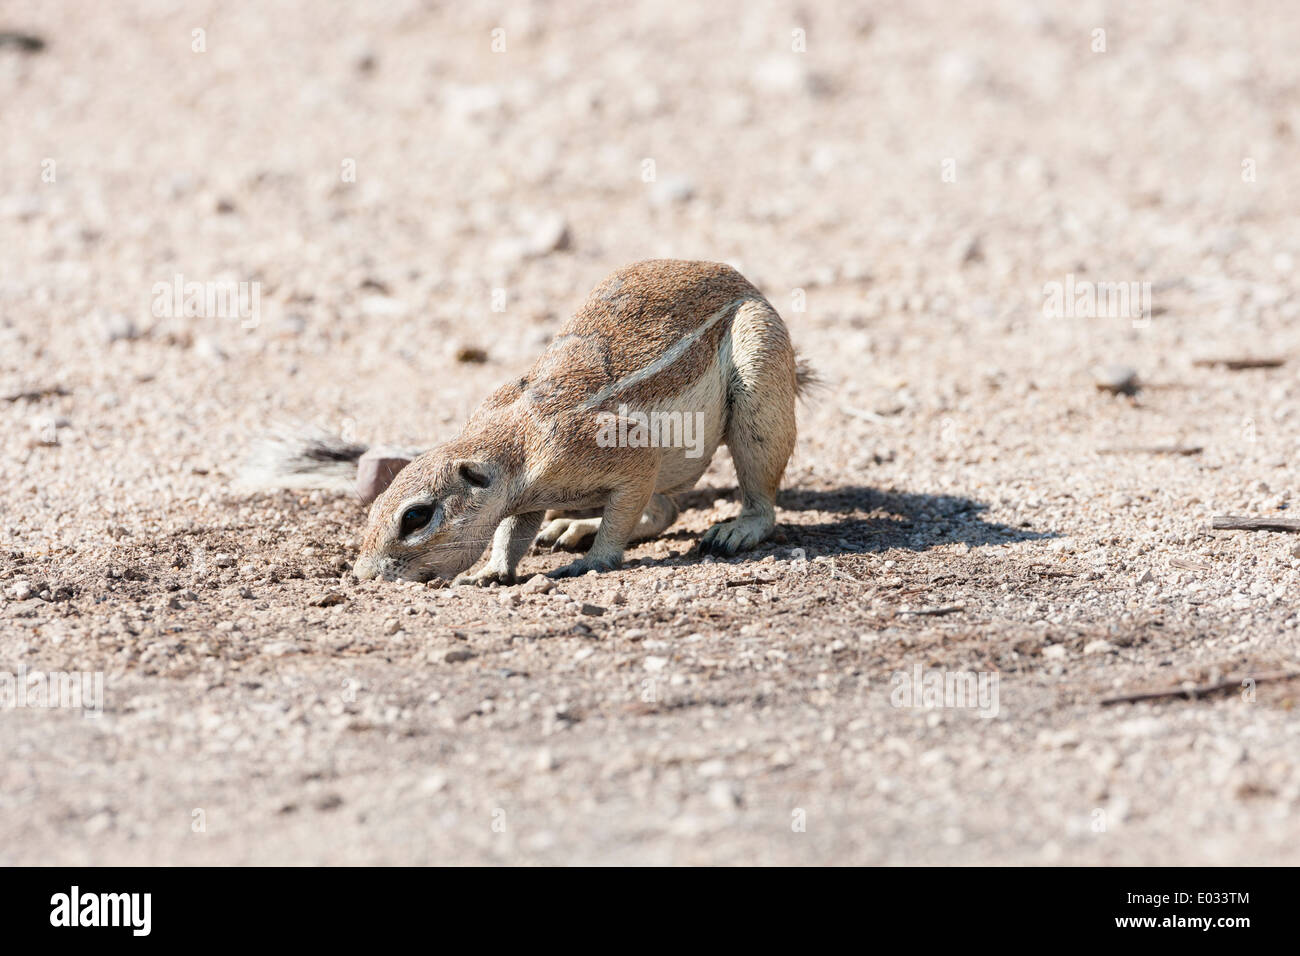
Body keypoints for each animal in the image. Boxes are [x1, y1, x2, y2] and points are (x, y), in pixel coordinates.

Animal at [244, 260, 815, 583]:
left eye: (415, 517)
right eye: (374, 506)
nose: (362, 576)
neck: (514, 440)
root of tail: (746, 282)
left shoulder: (622, 456)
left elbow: (622, 509)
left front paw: (594, 560)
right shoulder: (527, 494)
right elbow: (514, 529)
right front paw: (493, 570)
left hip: (759, 381)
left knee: (758, 497)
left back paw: (735, 530)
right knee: (664, 511)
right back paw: (573, 526)